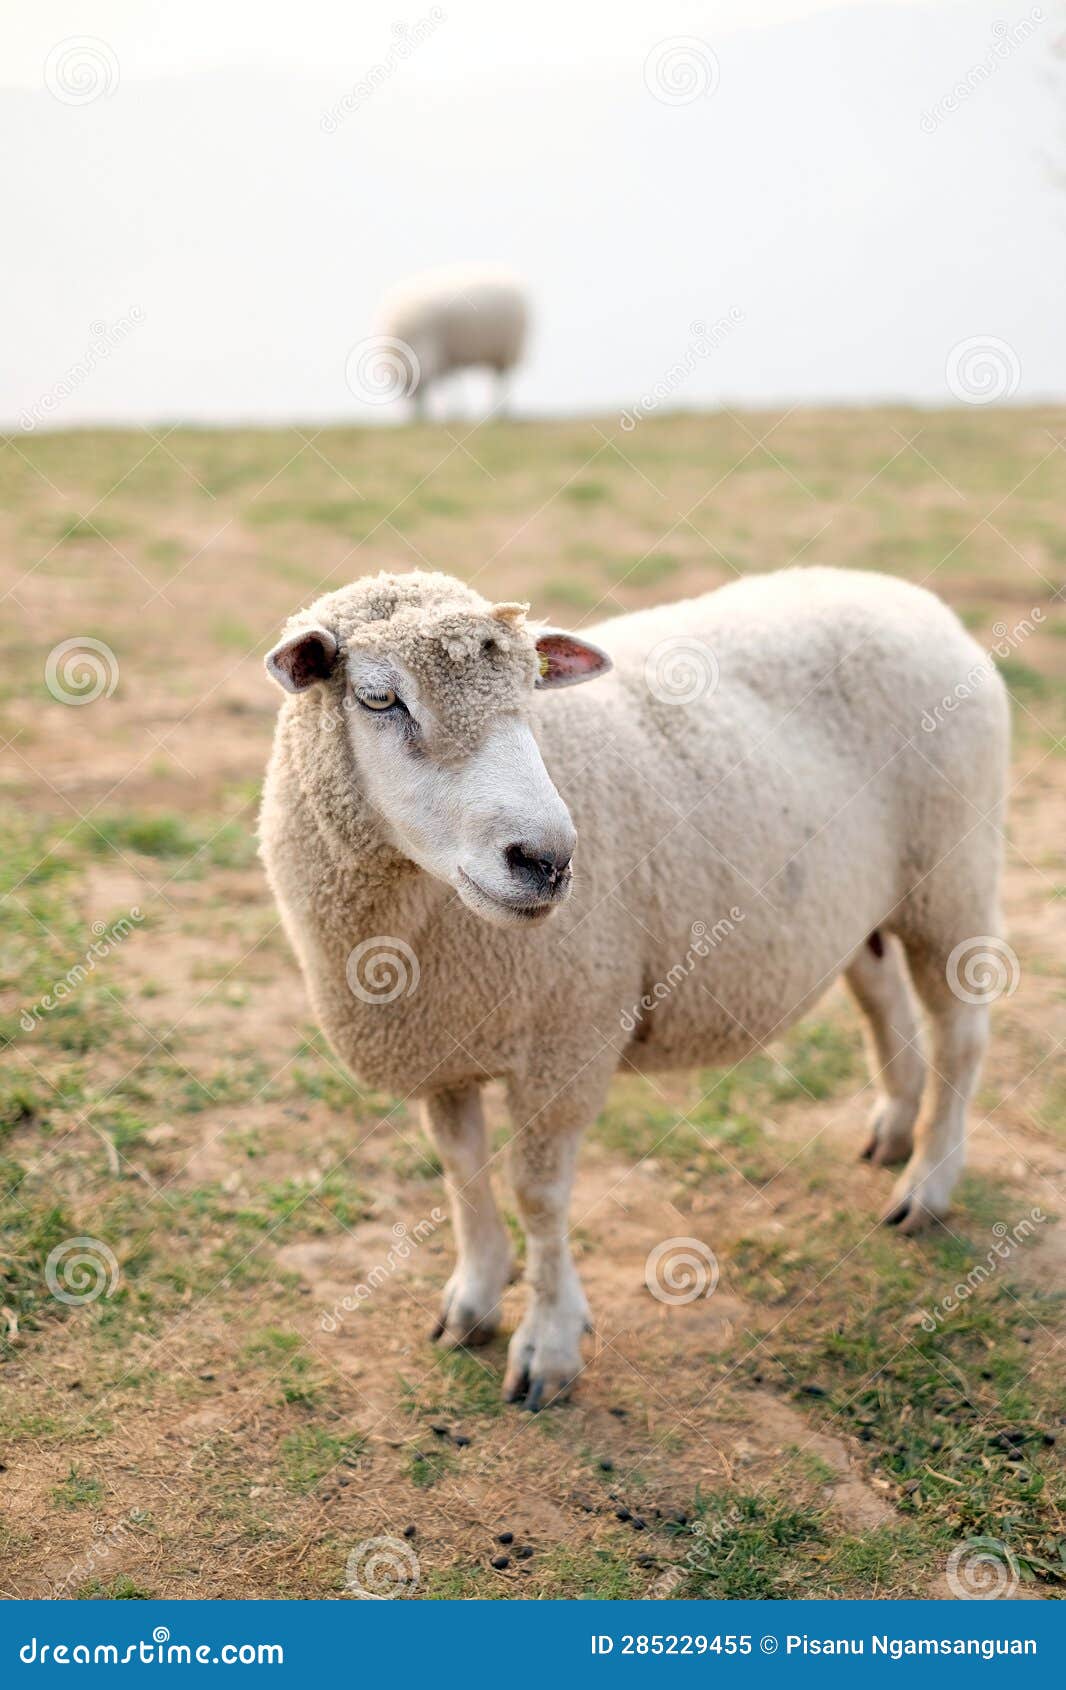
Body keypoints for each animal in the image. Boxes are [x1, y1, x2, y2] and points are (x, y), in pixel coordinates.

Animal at [260, 566, 1008, 1410]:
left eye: (531, 691)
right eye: (380, 699)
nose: (547, 859)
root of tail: (909, 593)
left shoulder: (569, 1036)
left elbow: (539, 1196)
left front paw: (548, 1347)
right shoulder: (444, 1045)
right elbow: (461, 1171)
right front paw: (474, 1298)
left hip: (954, 873)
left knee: (962, 1033)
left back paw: (929, 1184)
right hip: (865, 896)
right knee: (881, 995)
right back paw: (894, 1129)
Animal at [376, 267, 527, 416]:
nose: (417, 415)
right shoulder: (446, 357)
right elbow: (451, 382)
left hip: (508, 348)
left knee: (502, 380)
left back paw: (502, 410)